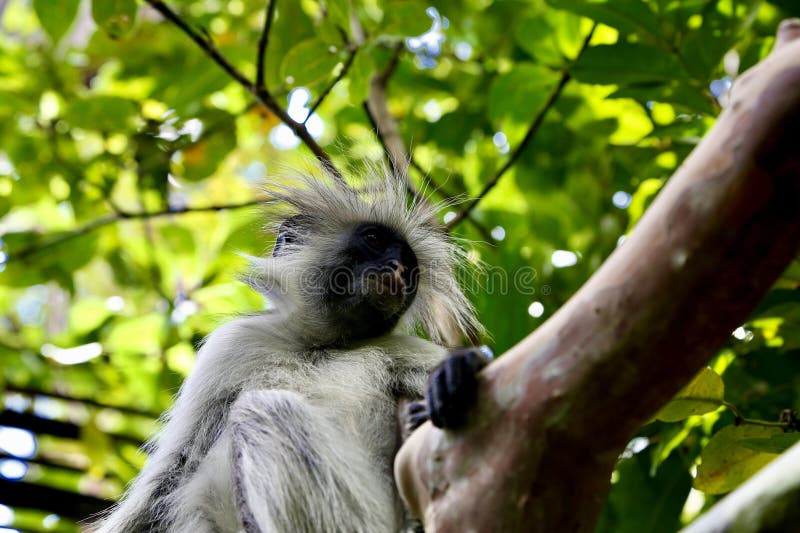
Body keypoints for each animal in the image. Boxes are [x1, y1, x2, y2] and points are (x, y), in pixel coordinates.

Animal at [92, 166, 485, 533]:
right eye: (374, 239)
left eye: (410, 266)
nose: (399, 269)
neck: (320, 346)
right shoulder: (233, 344)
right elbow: (172, 473)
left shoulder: (397, 347)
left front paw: (458, 370)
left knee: (264, 408)